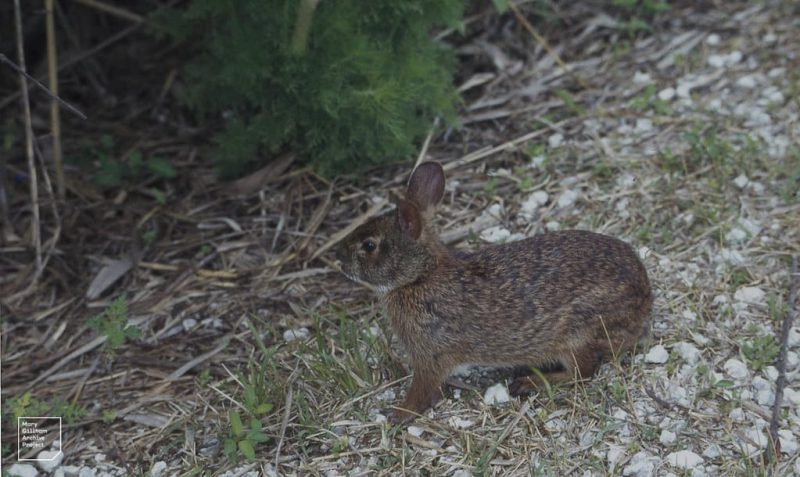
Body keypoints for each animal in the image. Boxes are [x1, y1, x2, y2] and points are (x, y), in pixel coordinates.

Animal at [335, 162, 652, 424]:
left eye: (369, 246)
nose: (339, 258)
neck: (419, 276)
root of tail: (644, 300)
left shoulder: (430, 354)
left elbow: (421, 388)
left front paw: (399, 414)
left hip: (577, 334)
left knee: (583, 372)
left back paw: (529, 382)